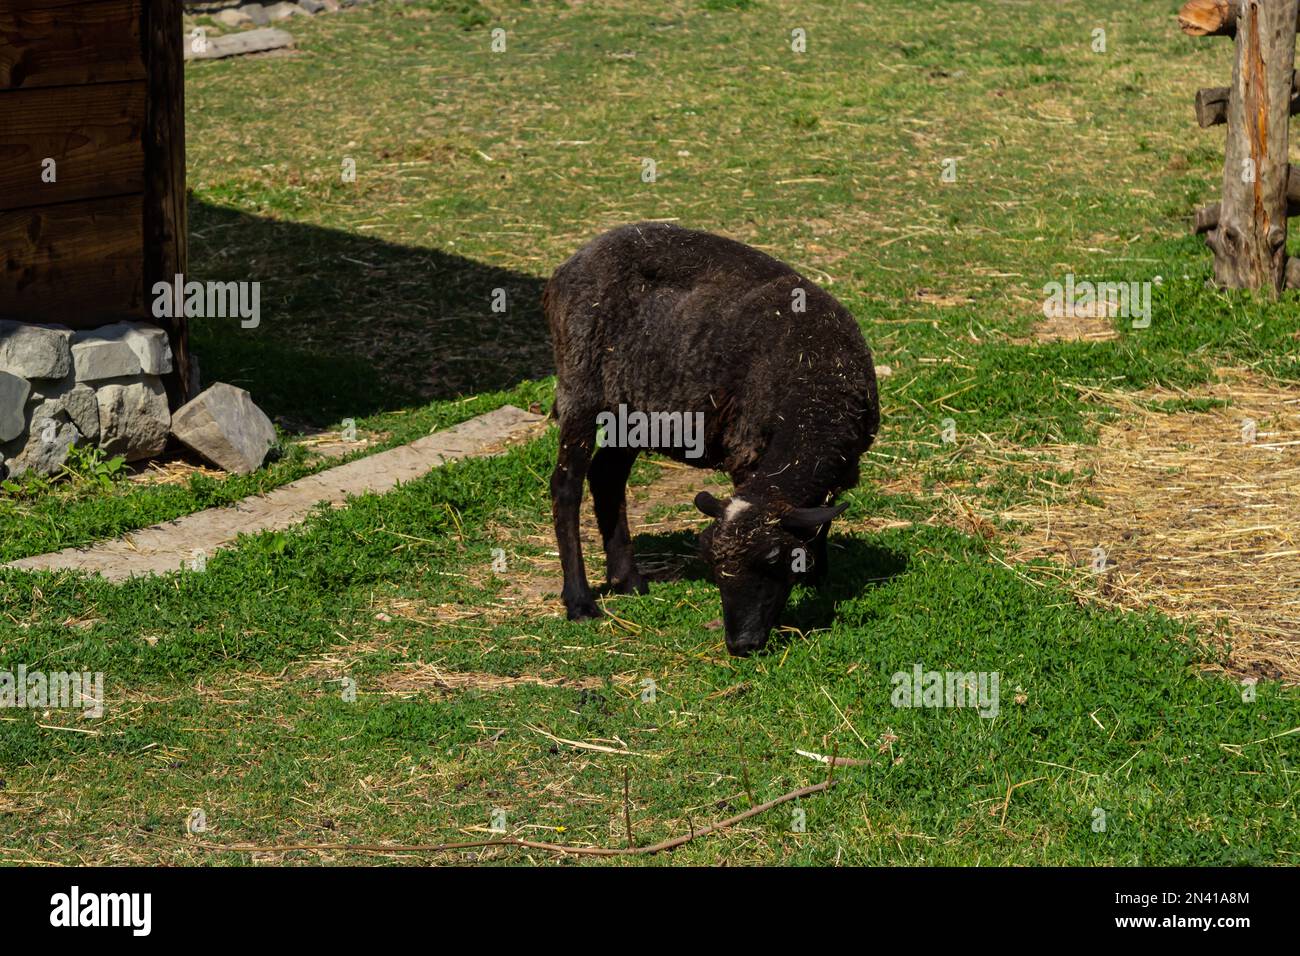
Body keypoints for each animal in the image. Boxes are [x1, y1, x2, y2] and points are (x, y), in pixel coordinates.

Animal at [543, 222, 880, 655]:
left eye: (775, 561)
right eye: (717, 572)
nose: (741, 644)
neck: (817, 385)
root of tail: (571, 263)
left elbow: (820, 521)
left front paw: (818, 576)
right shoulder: (748, 449)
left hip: (631, 406)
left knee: (607, 477)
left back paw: (629, 581)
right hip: (581, 383)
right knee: (566, 485)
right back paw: (580, 601)